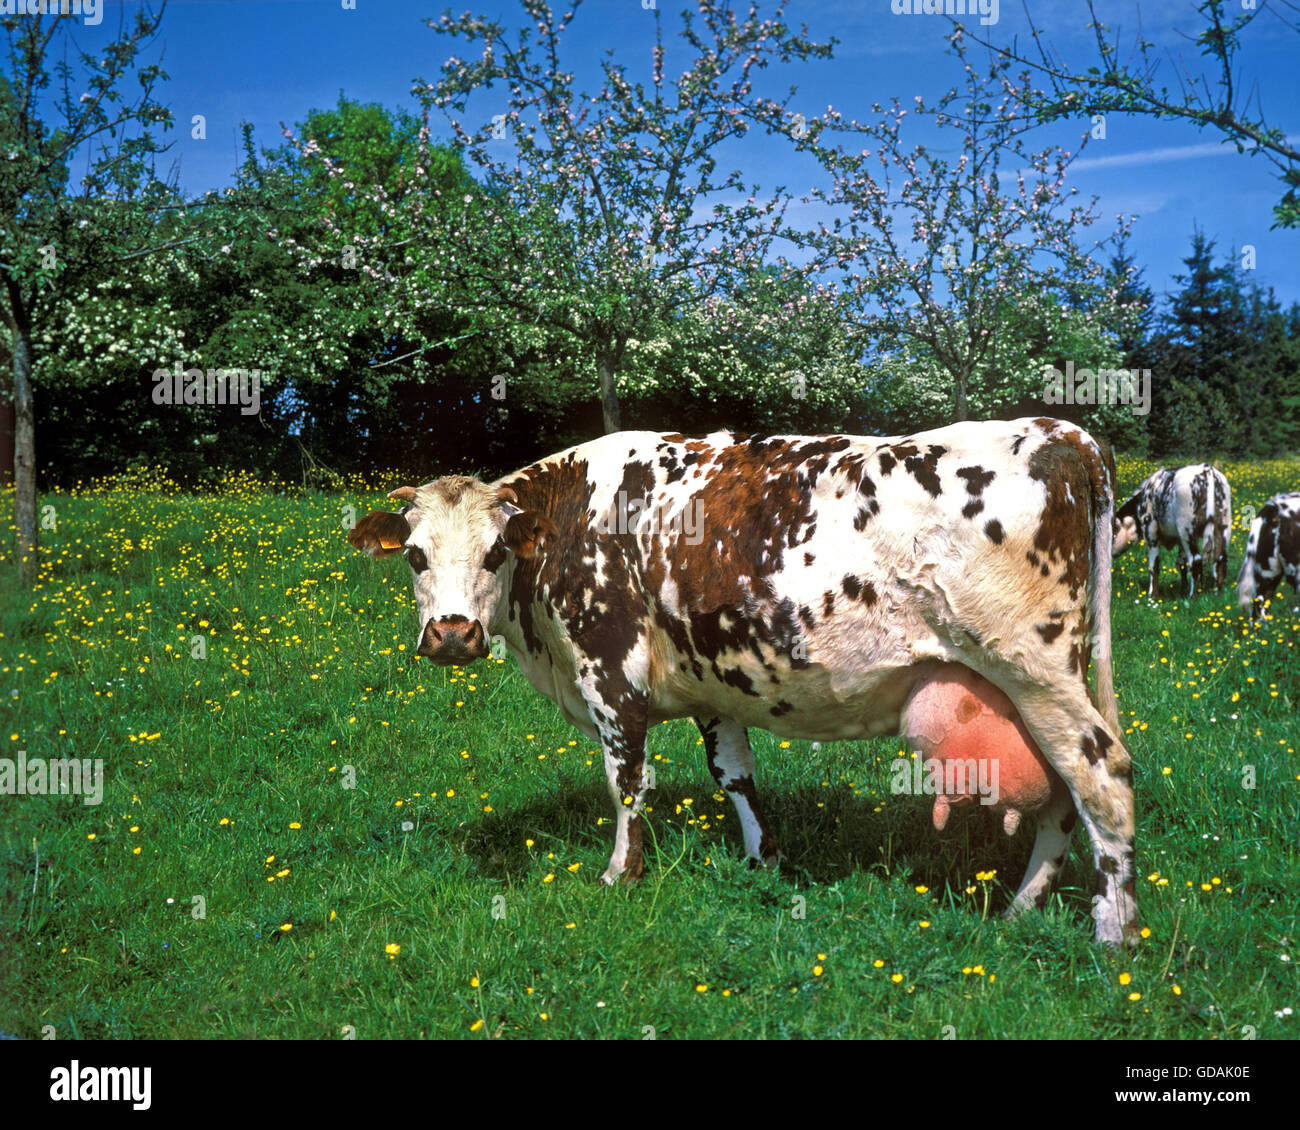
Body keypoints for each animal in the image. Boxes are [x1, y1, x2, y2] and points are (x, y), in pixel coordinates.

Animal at [348, 418, 1137, 945]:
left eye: (493, 552)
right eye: (414, 555)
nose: (452, 633)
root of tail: (1058, 429)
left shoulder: (611, 674)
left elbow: (627, 780)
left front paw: (621, 875)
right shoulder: (713, 683)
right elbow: (735, 775)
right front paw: (764, 860)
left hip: (1035, 671)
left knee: (1102, 778)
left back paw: (1113, 935)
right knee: (1062, 796)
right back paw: (1020, 912)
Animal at [1112, 464, 1231, 597]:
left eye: (1114, 531)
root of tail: (1207, 470)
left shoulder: (1151, 533)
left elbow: (1154, 565)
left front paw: (1152, 595)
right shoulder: (1179, 540)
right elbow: (1181, 564)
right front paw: (1182, 589)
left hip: (1187, 530)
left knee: (1196, 560)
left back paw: (1193, 596)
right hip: (1222, 526)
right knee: (1220, 559)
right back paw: (1217, 594)